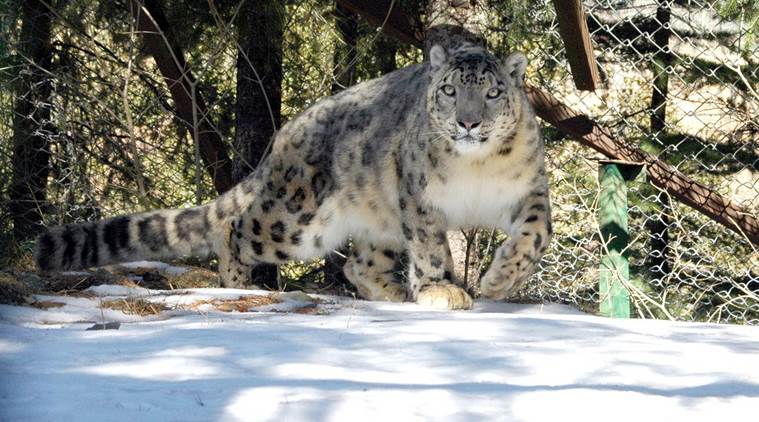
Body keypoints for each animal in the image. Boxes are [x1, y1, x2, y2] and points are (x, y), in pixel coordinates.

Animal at [35, 44, 553, 310]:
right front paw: (441, 289)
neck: (476, 168)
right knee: (236, 228)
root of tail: (286, 133)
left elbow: (535, 234)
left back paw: (389, 290)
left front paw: (499, 279)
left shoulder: (527, 190)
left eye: (492, 93)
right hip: (295, 220)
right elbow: (429, 246)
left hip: (378, 221)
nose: (468, 123)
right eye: (448, 90)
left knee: (357, 263)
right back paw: (240, 285)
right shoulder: (420, 198)